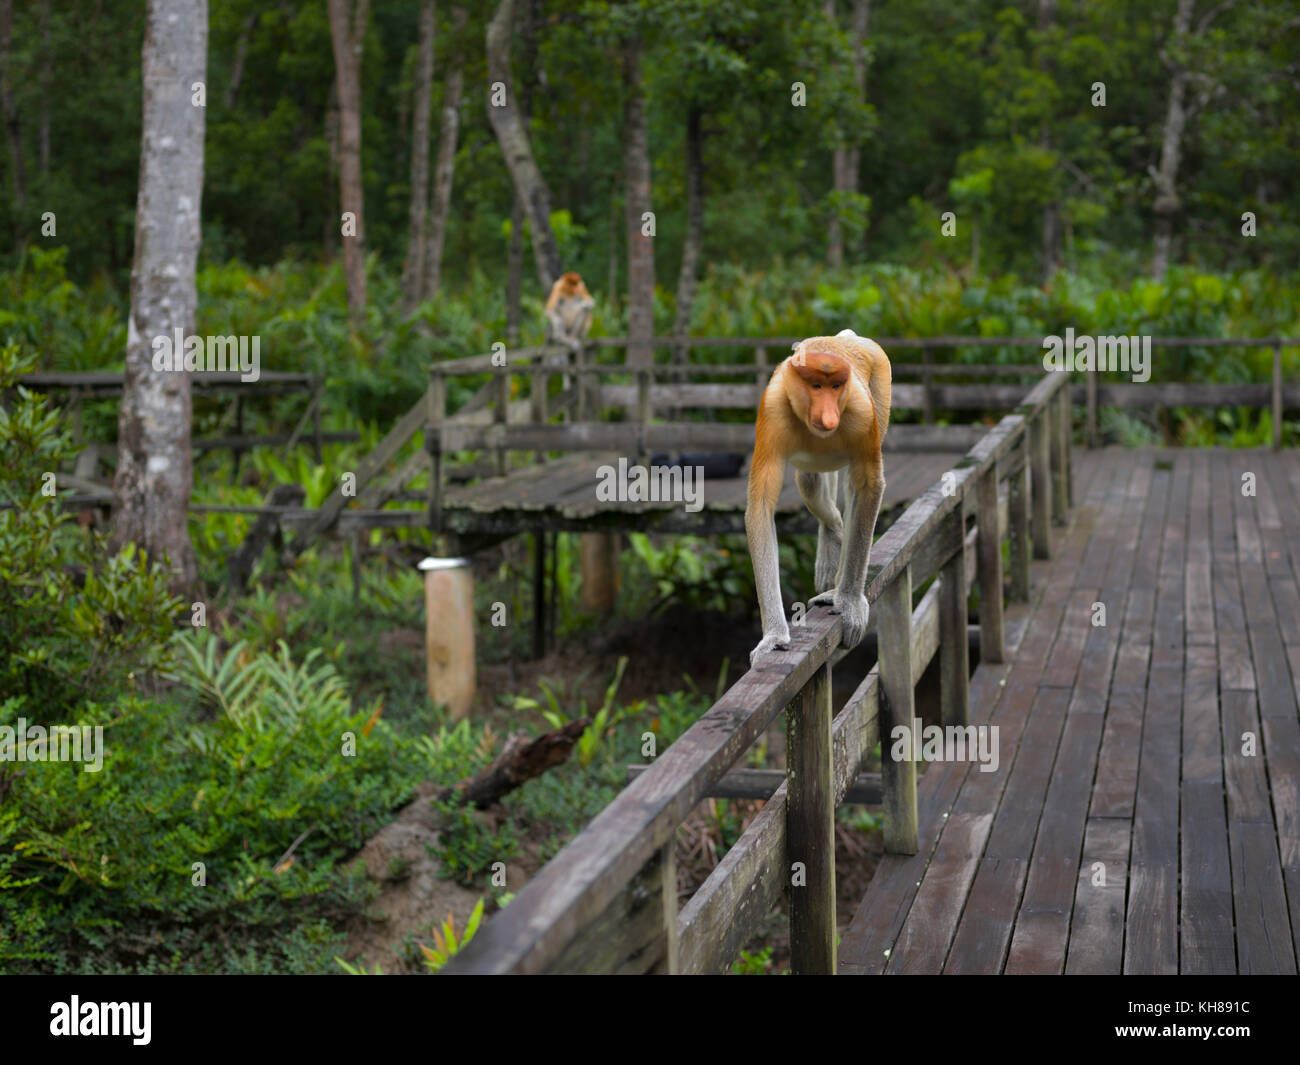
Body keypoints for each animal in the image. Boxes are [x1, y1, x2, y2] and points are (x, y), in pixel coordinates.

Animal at [745, 329, 891, 666]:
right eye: (816, 386)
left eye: (836, 387)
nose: (829, 416)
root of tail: (845, 337)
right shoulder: (773, 413)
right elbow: (761, 505)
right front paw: (773, 637)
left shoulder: (863, 415)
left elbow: (869, 485)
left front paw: (849, 604)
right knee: (809, 480)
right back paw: (833, 532)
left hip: (880, 381)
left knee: (853, 486)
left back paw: (836, 584)